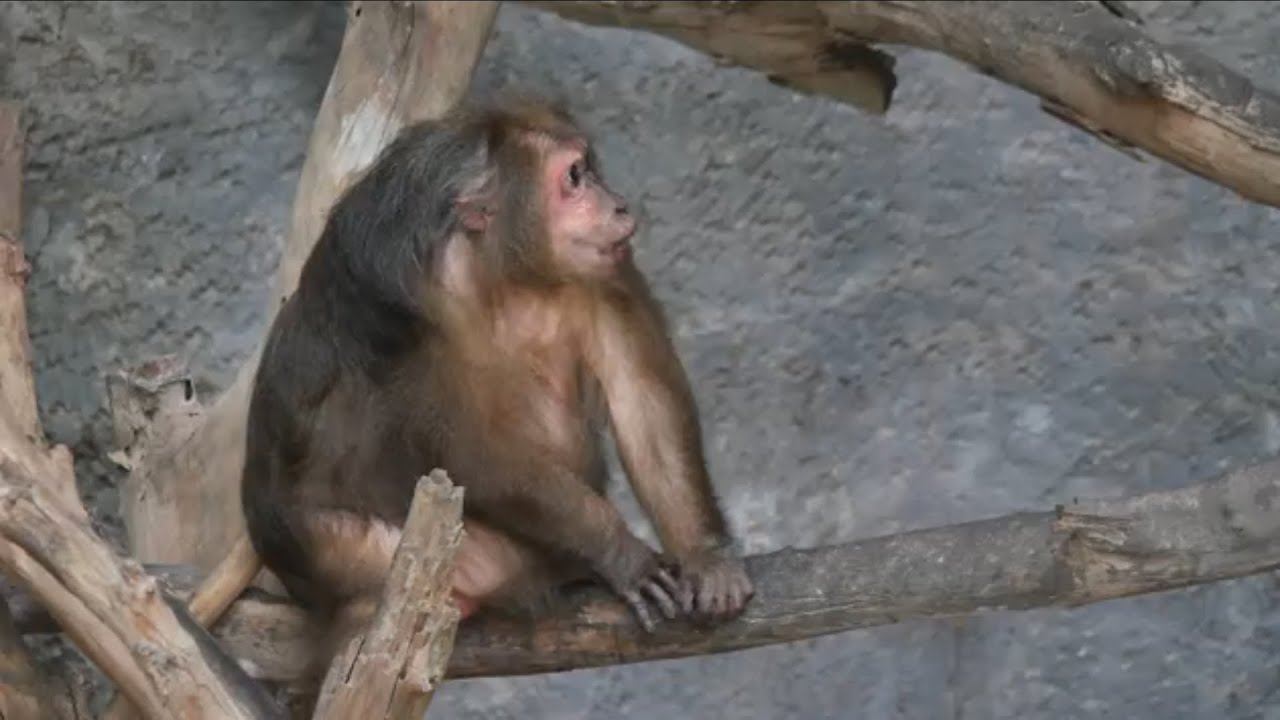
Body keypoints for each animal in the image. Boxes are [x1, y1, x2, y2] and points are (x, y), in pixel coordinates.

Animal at [239, 98, 754, 661]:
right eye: (575, 176)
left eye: (589, 171)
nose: (617, 205)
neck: (497, 267)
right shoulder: (406, 306)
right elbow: (466, 448)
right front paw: (619, 552)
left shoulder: (601, 267)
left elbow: (638, 396)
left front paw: (705, 557)